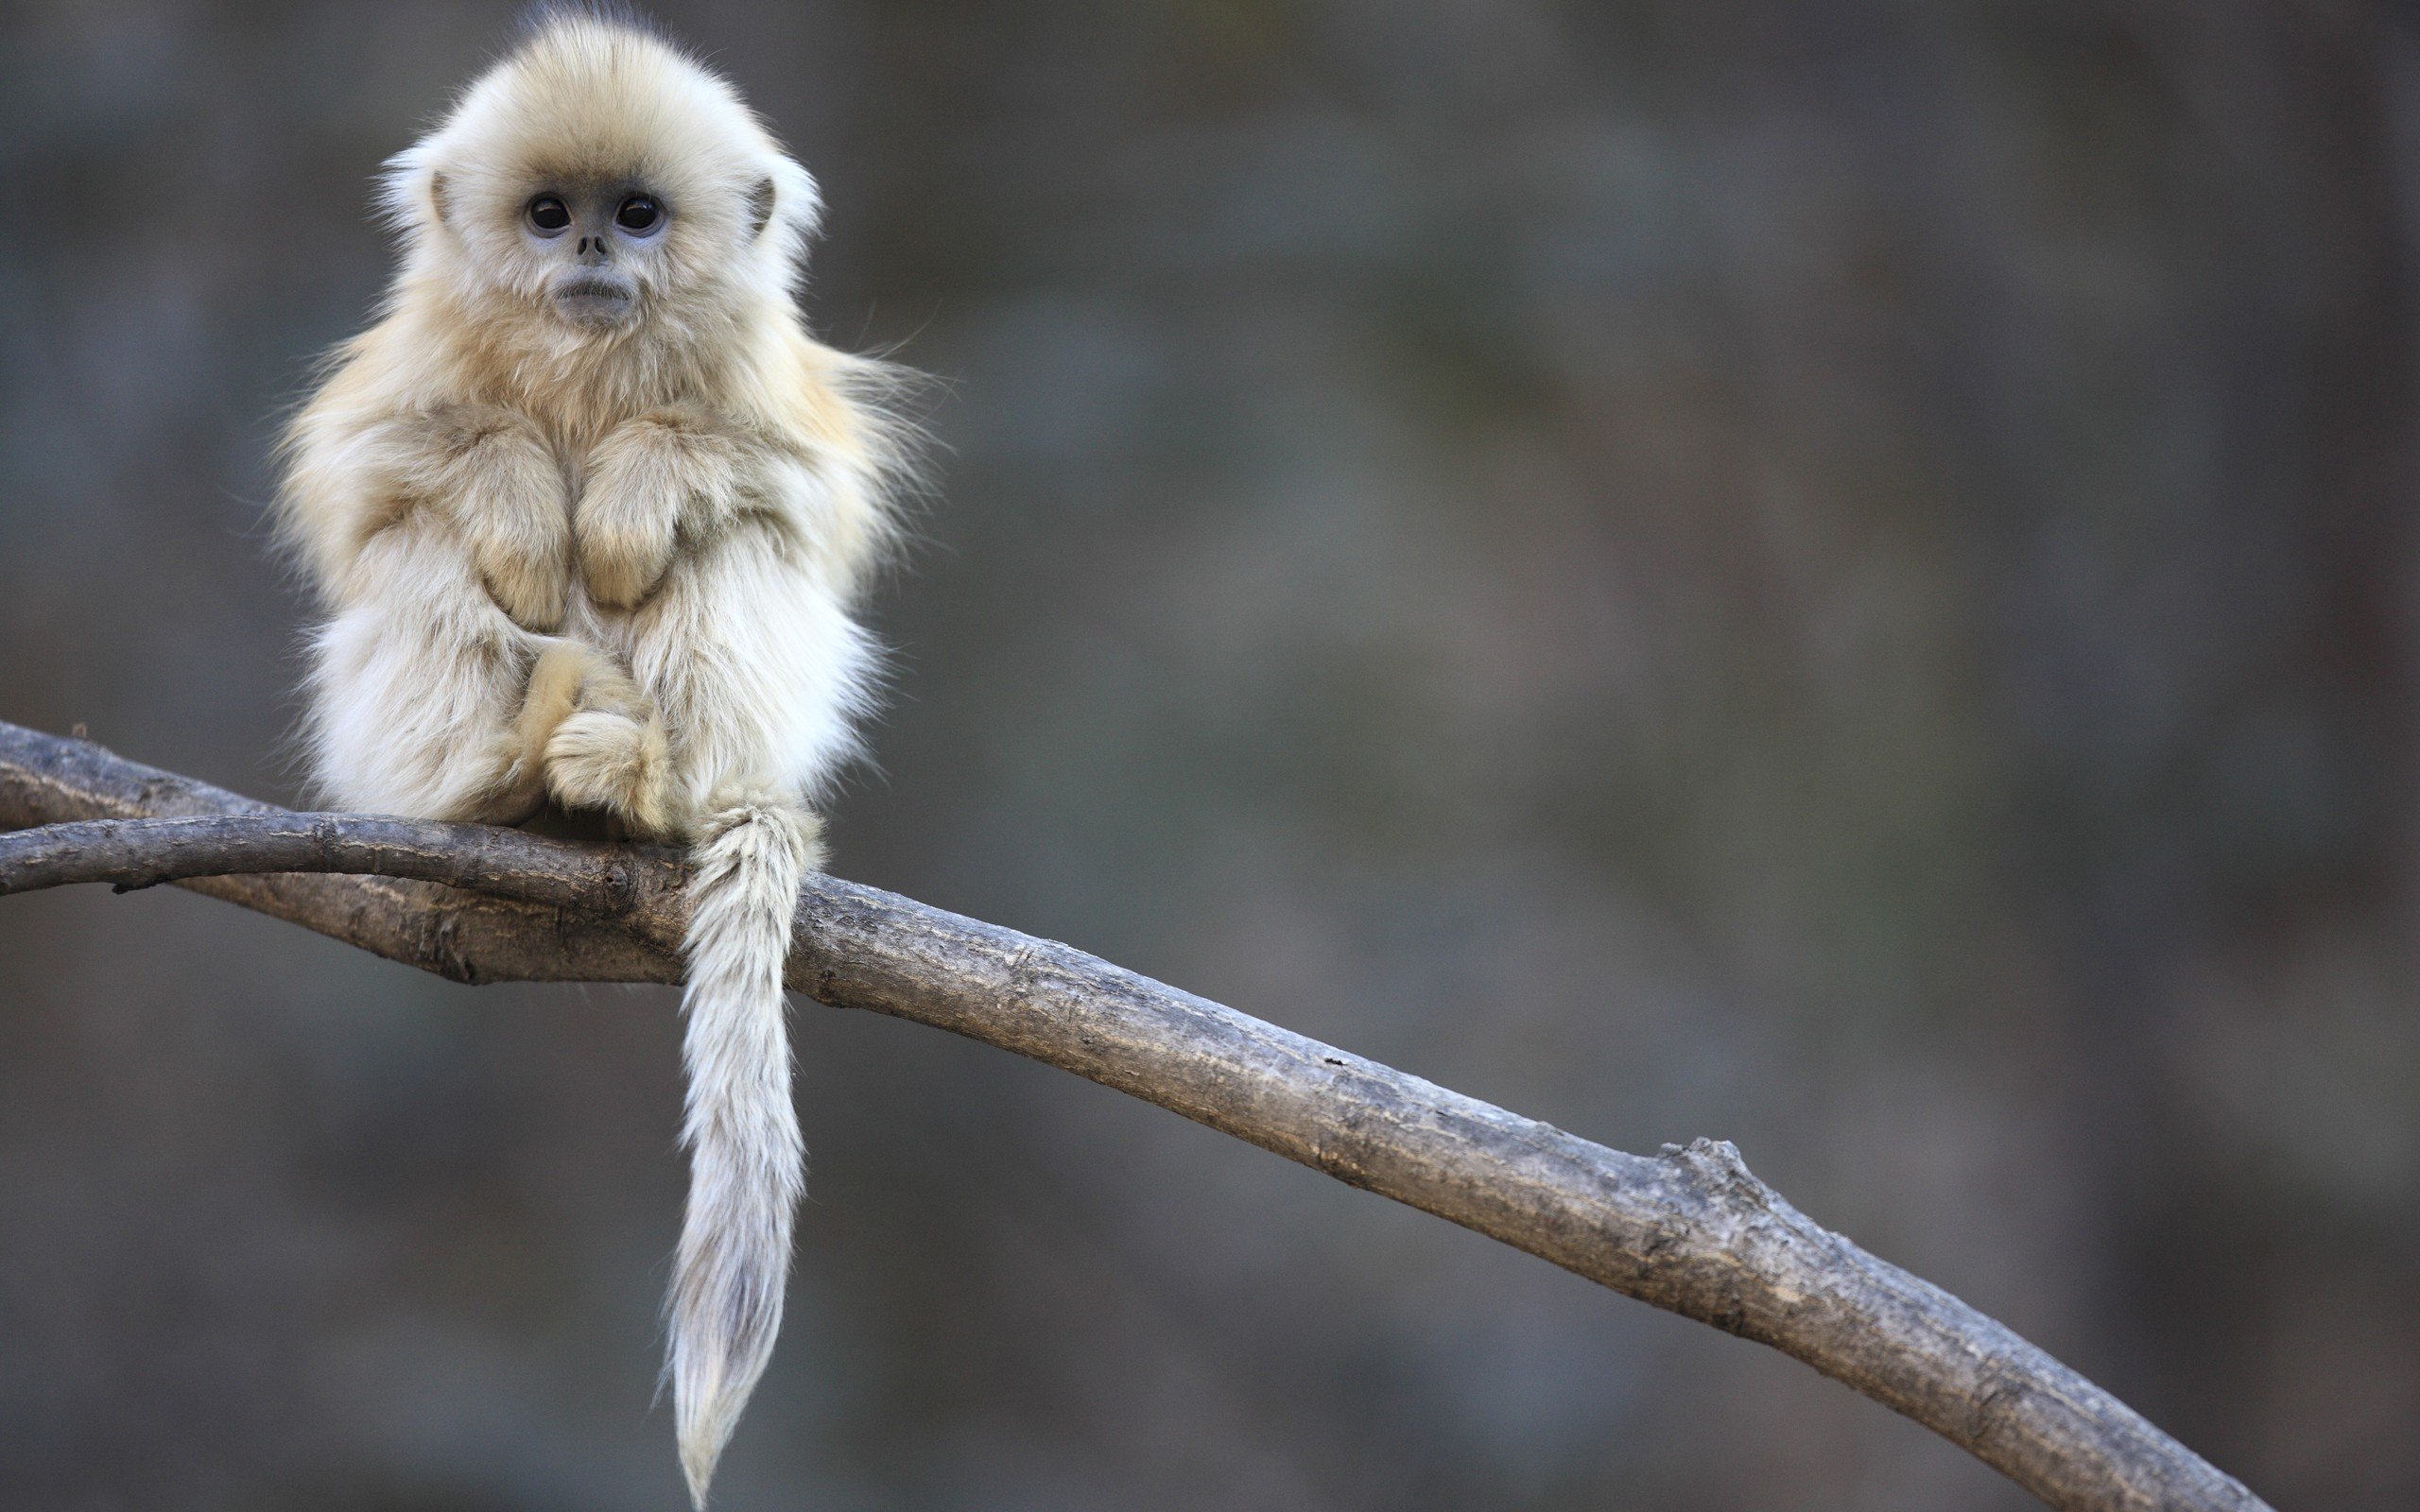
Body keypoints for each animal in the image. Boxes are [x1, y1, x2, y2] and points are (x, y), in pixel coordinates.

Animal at [274, 11, 907, 1502]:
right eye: (549, 215)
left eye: (638, 214)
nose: (593, 260)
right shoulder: (405, 374)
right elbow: (368, 478)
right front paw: (519, 502)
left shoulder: (769, 392)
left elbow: (791, 490)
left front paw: (626, 499)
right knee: (417, 544)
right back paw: (501, 776)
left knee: (742, 541)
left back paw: (643, 786)